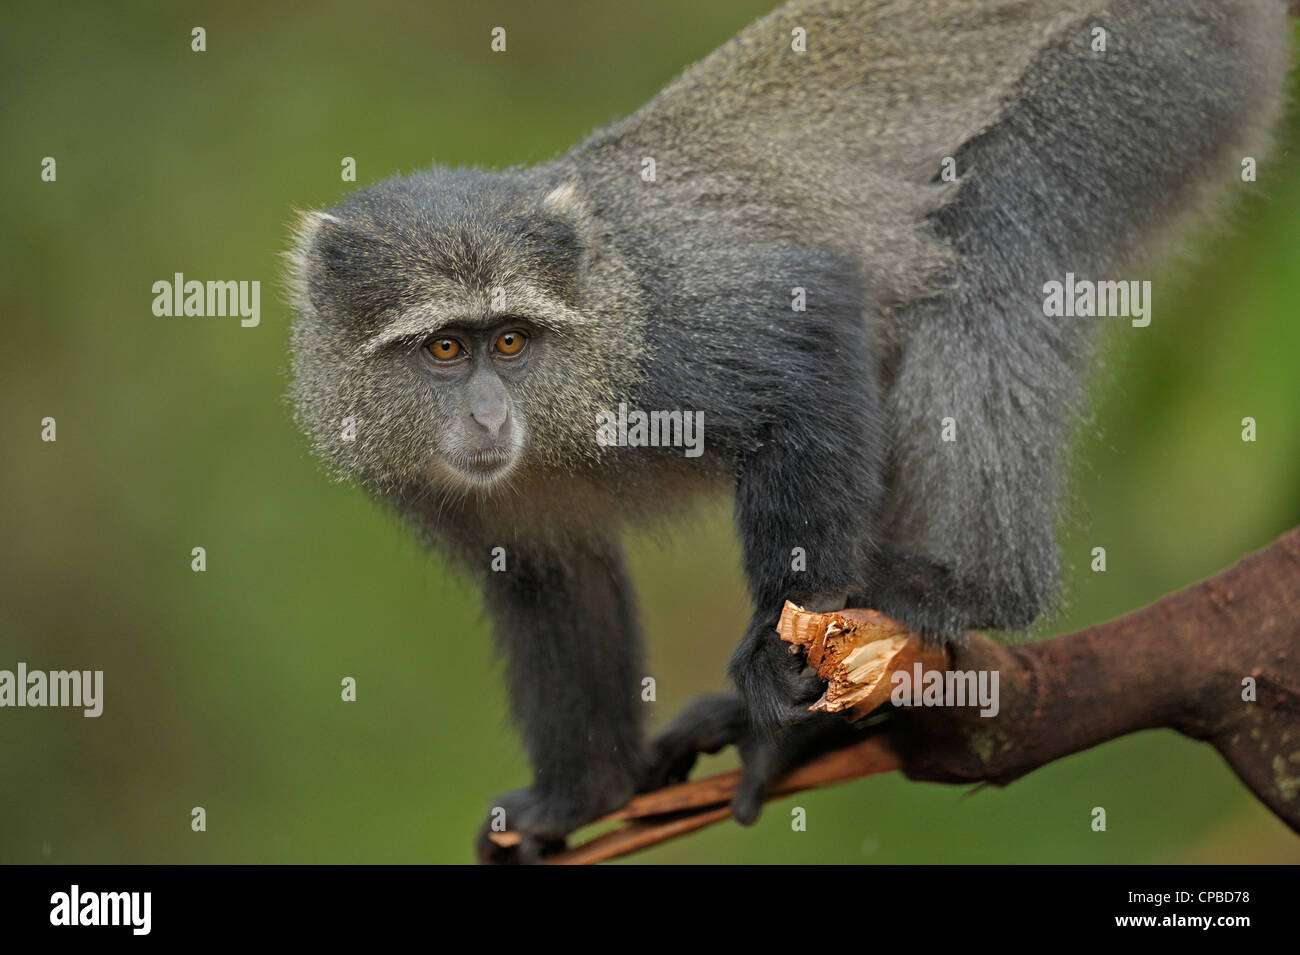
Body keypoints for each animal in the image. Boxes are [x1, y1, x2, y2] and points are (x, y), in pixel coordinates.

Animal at [286, 0, 1294, 863]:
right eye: (446, 347)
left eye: (509, 339)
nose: (491, 416)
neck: (592, 335)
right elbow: (553, 581)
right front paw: (581, 795)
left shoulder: (671, 347)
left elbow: (814, 347)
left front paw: (775, 651)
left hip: (1153, 68)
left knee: (995, 238)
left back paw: (976, 586)